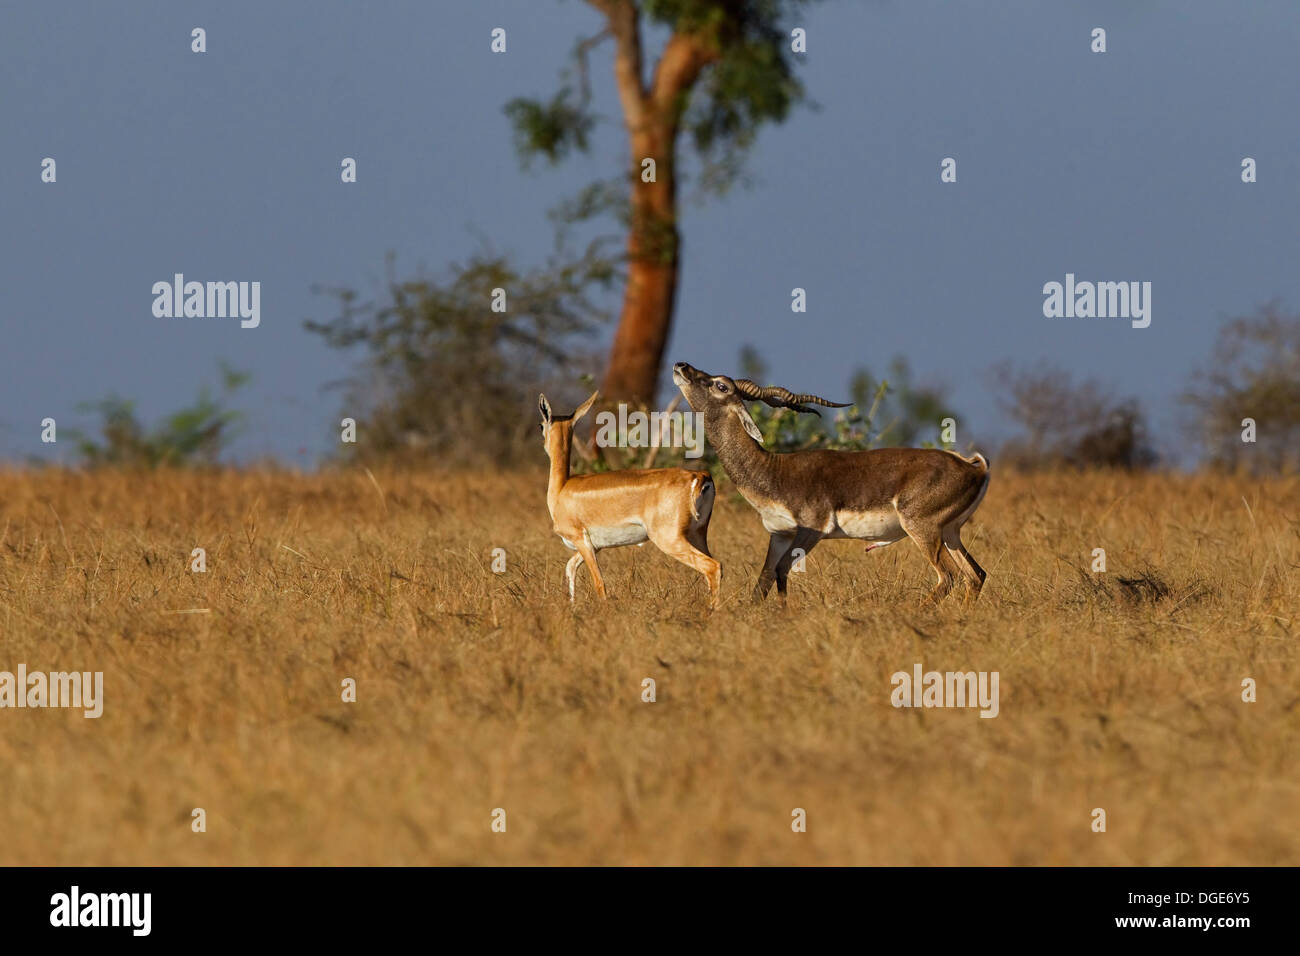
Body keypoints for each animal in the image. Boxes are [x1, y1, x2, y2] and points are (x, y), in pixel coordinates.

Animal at [539, 391, 721, 608]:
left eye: (541, 425)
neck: (562, 488)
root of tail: (700, 476)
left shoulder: (582, 541)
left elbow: (599, 583)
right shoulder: (596, 546)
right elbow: (570, 567)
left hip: (669, 539)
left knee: (712, 566)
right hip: (698, 535)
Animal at [672, 363, 990, 606]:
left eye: (721, 385)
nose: (682, 366)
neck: (773, 469)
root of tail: (975, 467)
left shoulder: (812, 530)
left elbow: (781, 571)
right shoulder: (780, 534)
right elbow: (763, 580)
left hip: (922, 530)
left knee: (948, 577)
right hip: (949, 533)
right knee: (976, 575)